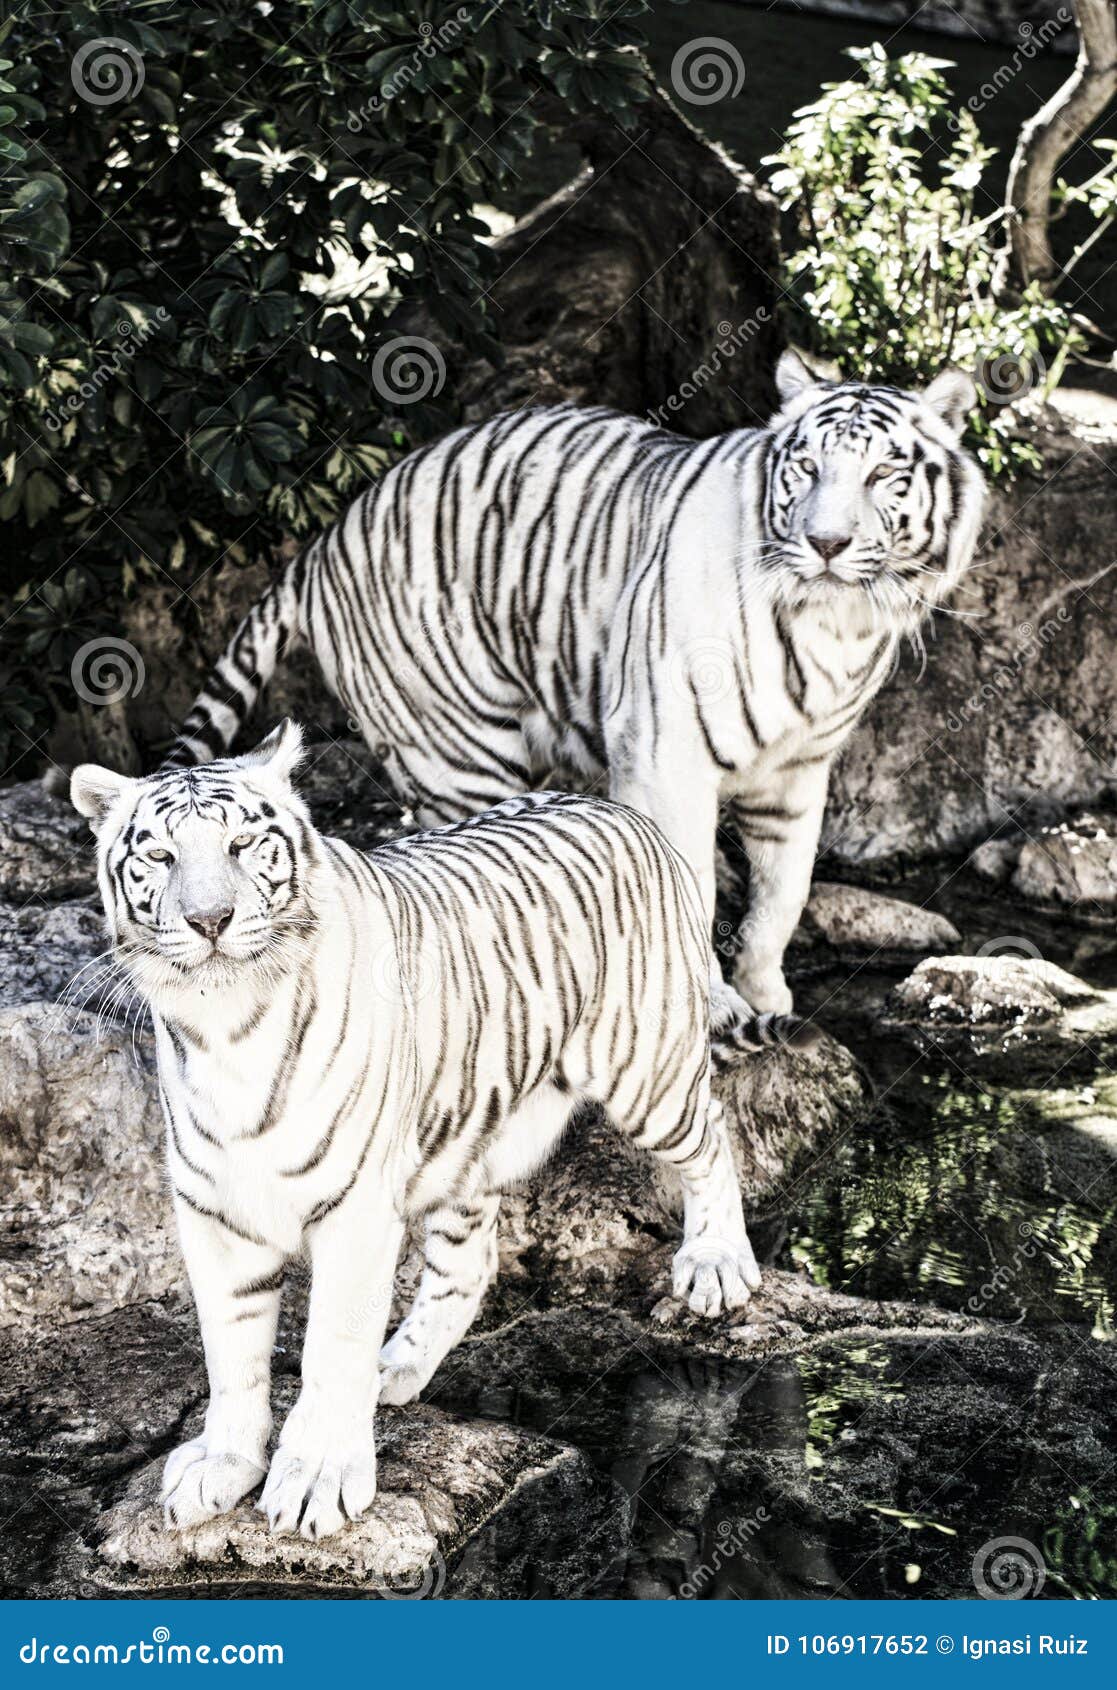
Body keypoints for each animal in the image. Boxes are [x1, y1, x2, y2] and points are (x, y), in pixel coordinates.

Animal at [70, 720, 805, 1542]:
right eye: (159, 856)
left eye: (241, 846)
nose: (209, 922)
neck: (230, 1028)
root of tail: (617, 808)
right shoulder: (215, 1211)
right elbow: (231, 1354)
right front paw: (222, 1467)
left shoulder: (355, 1209)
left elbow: (332, 1345)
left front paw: (316, 1479)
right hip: (466, 1132)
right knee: (470, 1263)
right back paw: (399, 1368)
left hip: (646, 1069)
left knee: (711, 1139)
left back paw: (716, 1266)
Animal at [166, 352, 986, 1020]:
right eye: (807, 469)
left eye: (882, 474)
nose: (825, 544)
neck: (834, 624)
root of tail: (322, 542)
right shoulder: (664, 754)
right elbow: (691, 888)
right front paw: (716, 1007)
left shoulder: (798, 770)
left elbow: (785, 891)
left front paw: (765, 995)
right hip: (459, 753)